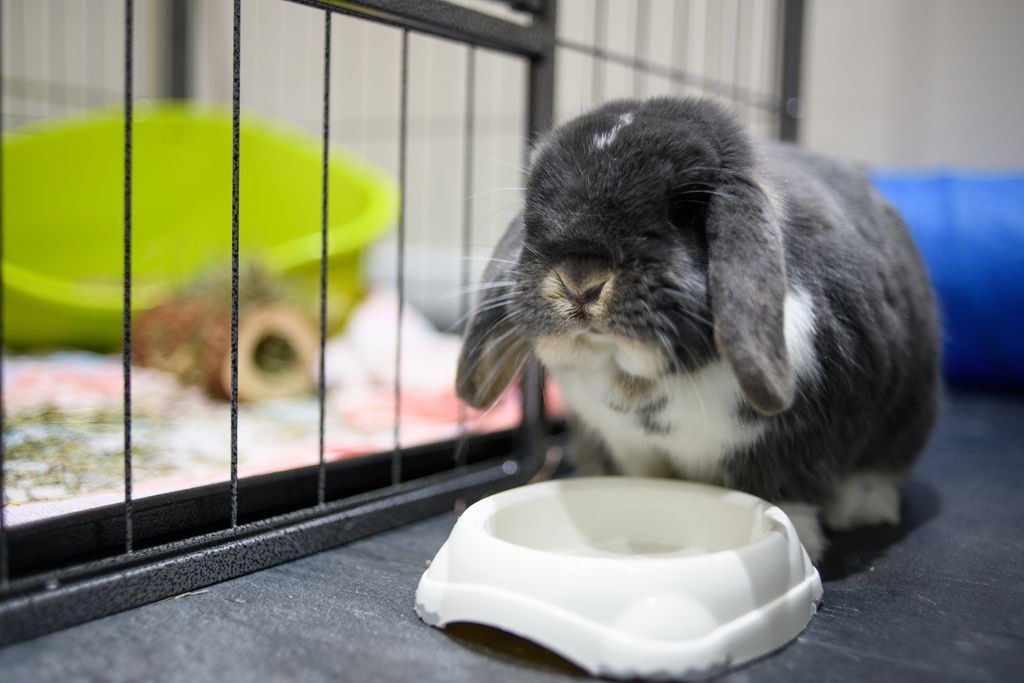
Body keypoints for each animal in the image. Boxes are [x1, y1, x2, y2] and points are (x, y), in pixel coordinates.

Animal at [456, 97, 940, 561]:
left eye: (684, 209)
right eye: (532, 209)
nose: (580, 282)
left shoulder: (796, 443)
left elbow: (787, 493)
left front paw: (799, 540)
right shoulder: (627, 446)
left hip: (907, 413)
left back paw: (864, 508)